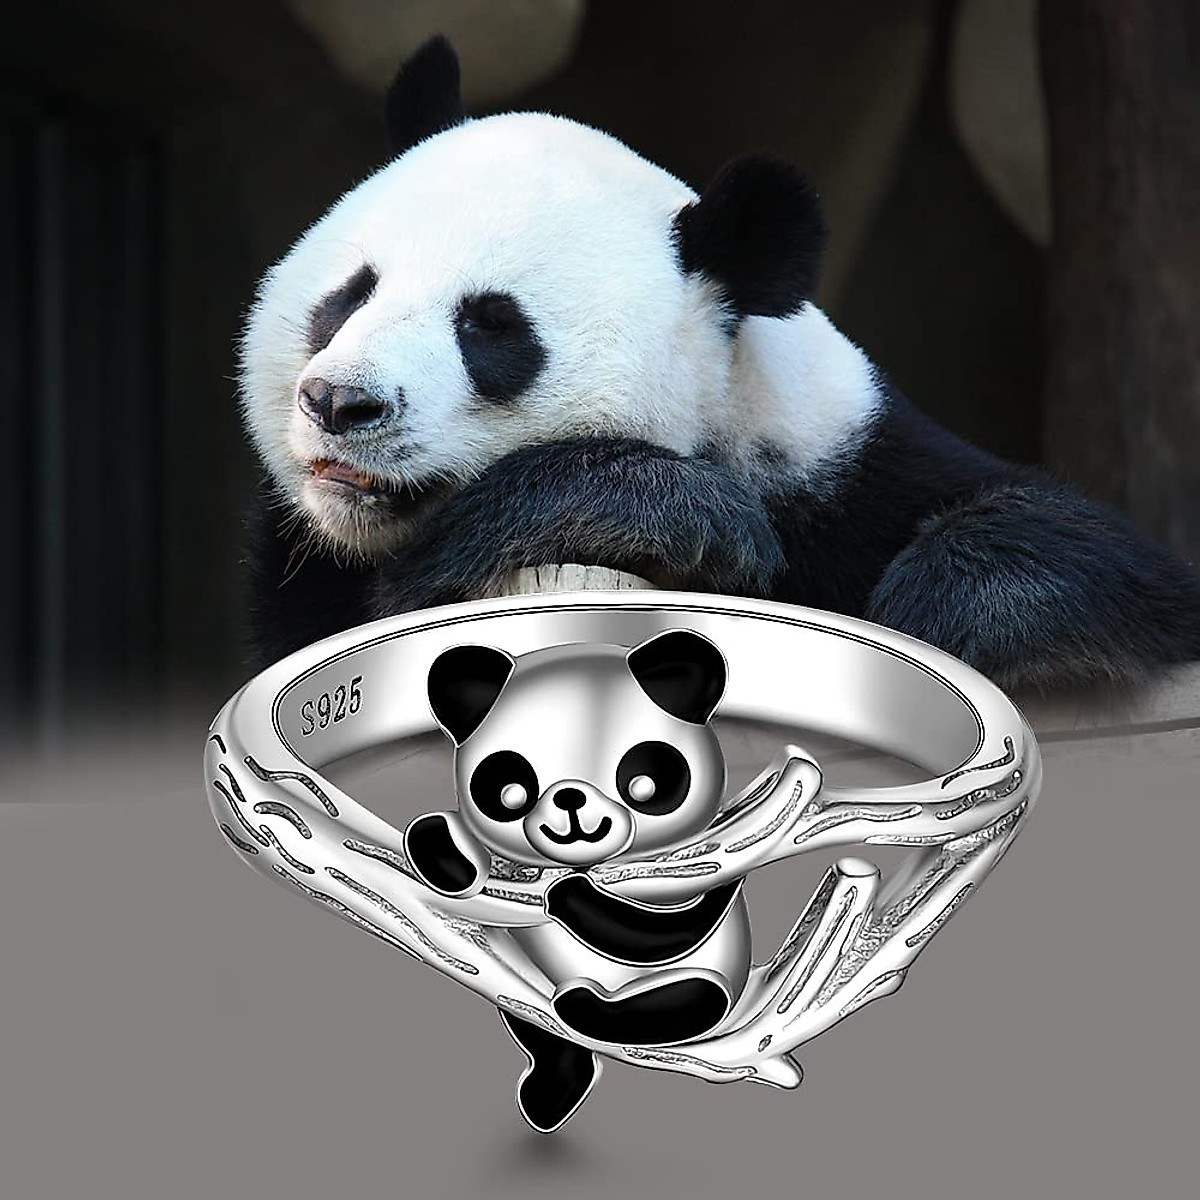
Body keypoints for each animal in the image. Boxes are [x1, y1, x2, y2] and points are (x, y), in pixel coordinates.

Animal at [240, 35, 1200, 691]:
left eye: (490, 328)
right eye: (351, 294)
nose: (341, 403)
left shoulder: (848, 469)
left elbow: (1101, 562)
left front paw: (939, 613)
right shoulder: (308, 573)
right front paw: (672, 513)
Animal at [406, 627, 750, 1133]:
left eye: (644, 782)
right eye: (511, 790)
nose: (570, 798)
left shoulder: (708, 858)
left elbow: (669, 929)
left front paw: (569, 895)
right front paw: (441, 849)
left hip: (714, 975)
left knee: (686, 1000)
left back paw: (587, 1006)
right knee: (533, 1024)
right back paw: (553, 1089)